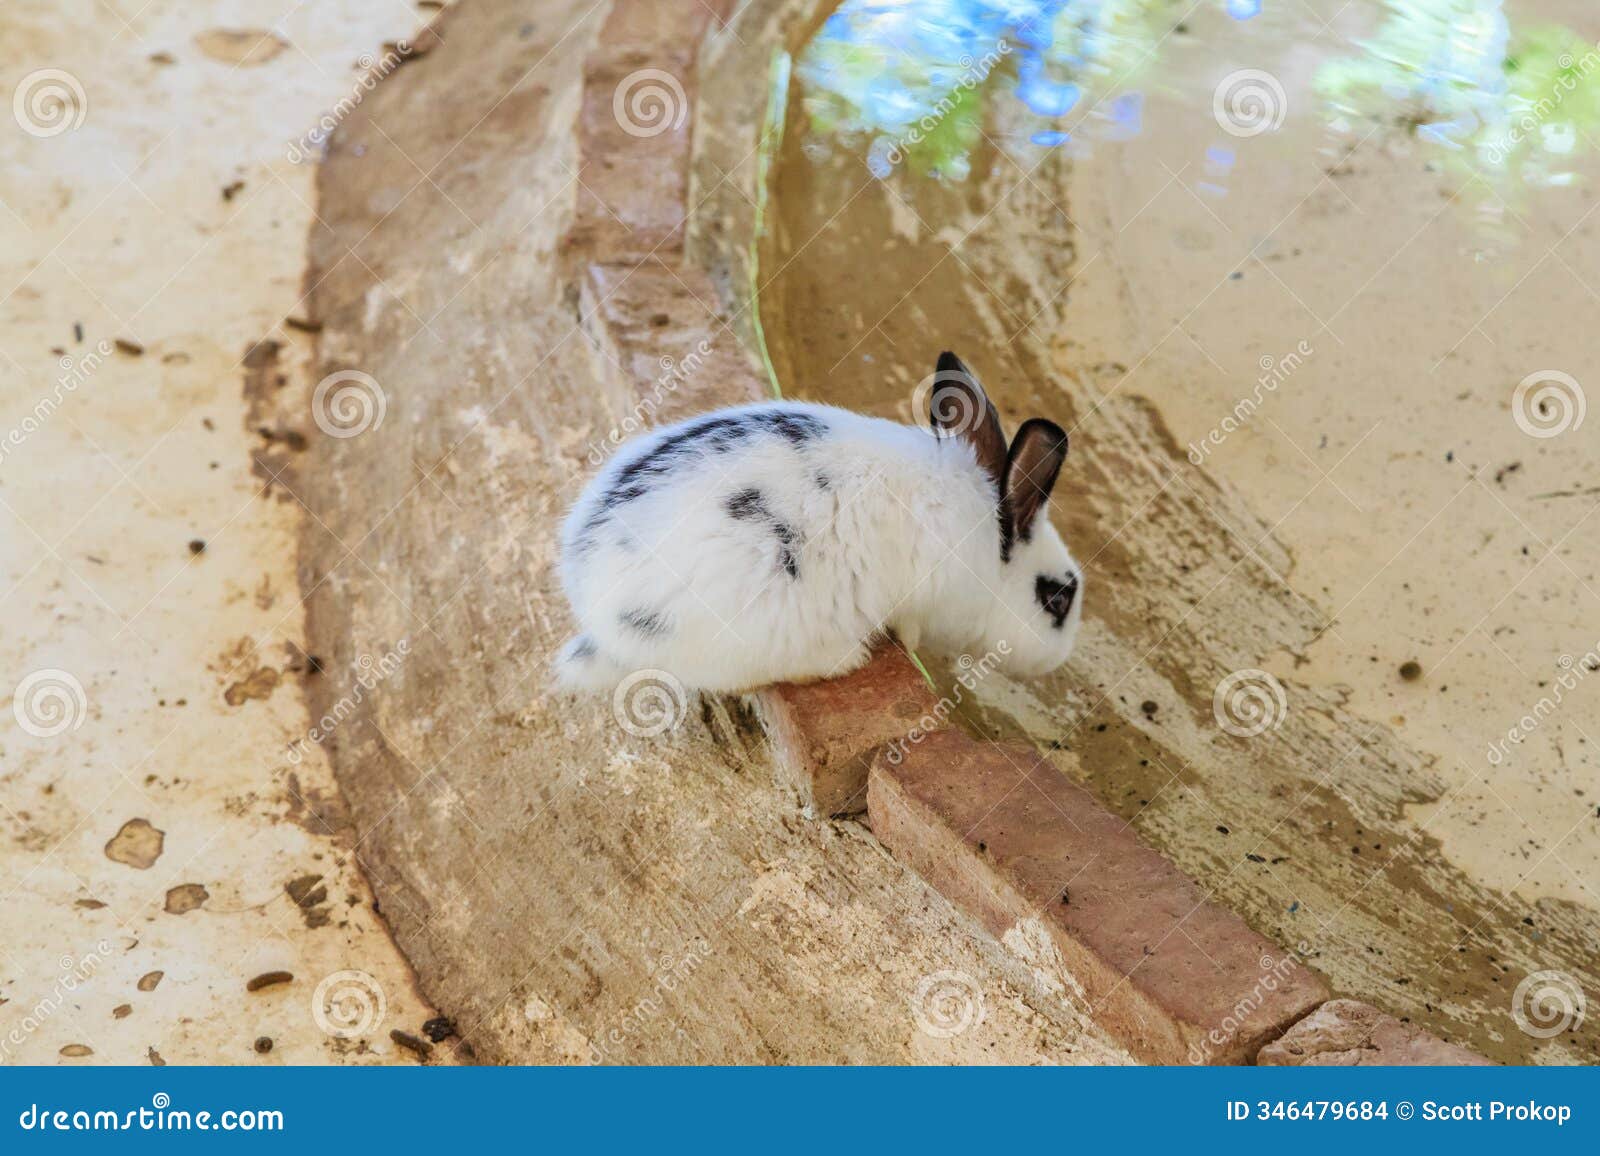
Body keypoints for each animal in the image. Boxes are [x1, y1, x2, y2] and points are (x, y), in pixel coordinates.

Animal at [556, 351, 1083, 693]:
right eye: (1056, 598)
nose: (1059, 659)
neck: (987, 542)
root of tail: (599, 622)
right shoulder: (923, 603)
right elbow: (910, 628)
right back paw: (848, 659)